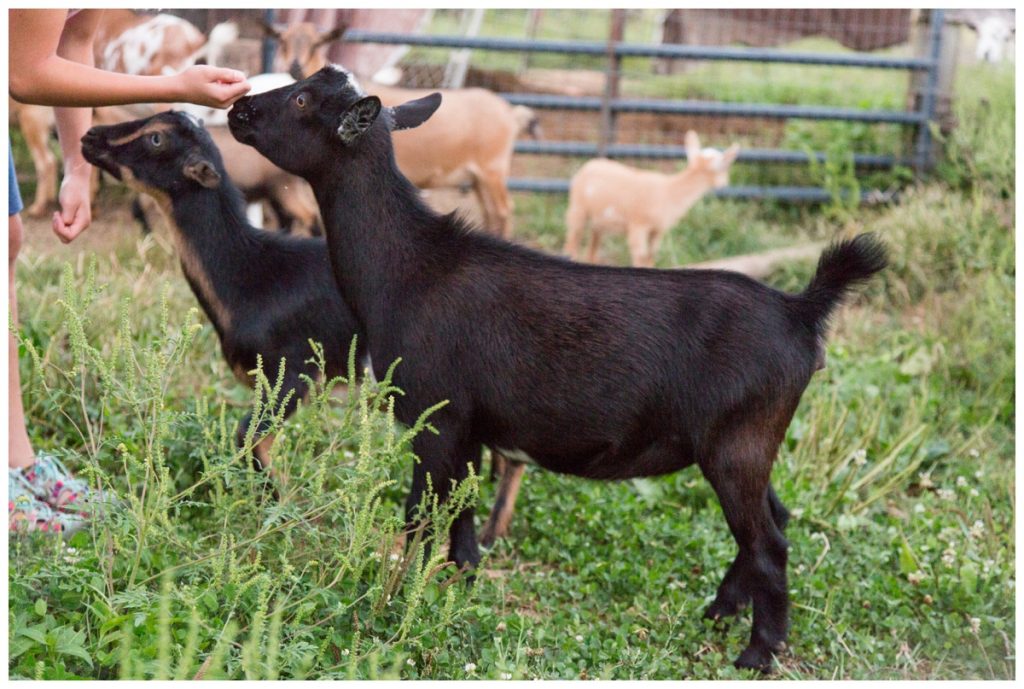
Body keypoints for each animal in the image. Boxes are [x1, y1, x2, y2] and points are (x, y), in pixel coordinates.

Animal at [262, 22, 526, 239]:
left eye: (317, 43)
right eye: (282, 40)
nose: (295, 66)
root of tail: (510, 112)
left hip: (493, 169)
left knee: (504, 210)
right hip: (479, 178)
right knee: (491, 213)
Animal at [564, 132, 739, 268]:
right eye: (724, 167)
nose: (725, 183)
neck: (669, 192)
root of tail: (590, 164)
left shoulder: (658, 230)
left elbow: (651, 256)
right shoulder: (638, 225)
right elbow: (640, 257)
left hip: (599, 222)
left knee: (592, 251)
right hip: (578, 207)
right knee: (571, 244)